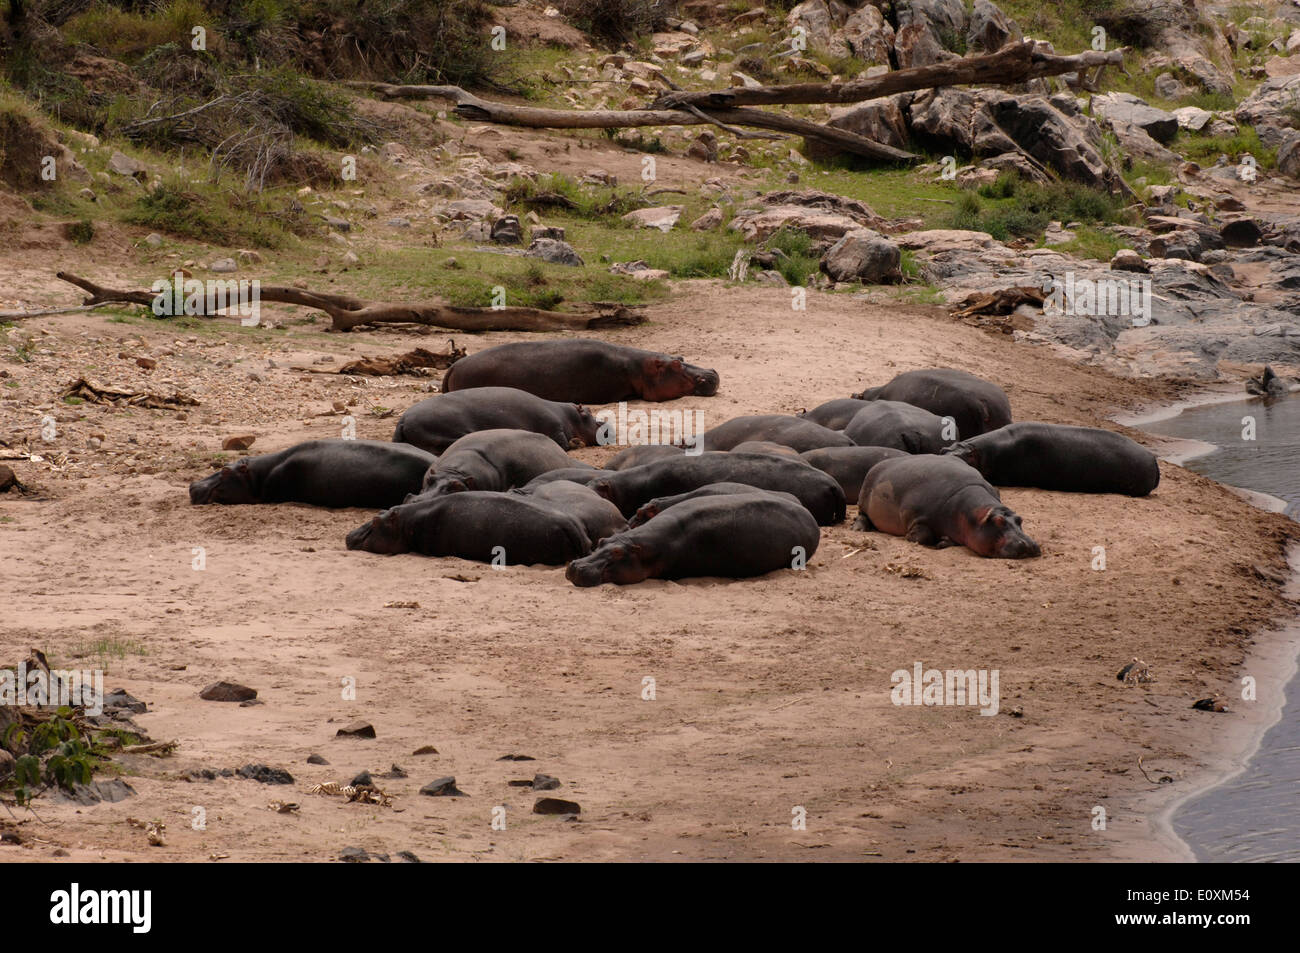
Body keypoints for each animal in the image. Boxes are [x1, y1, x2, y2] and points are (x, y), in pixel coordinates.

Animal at [392, 387, 603, 454]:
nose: (604, 424)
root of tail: (403, 419)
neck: (568, 415)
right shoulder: (554, 427)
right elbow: (564, 444)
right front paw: (575, 443)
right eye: (588, 412)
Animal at [854, 454, 1040, 559]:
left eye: (1020, 519)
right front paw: (912, 537)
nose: (1029, 544)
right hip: (864, 500)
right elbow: (922, 536)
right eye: (999, 521)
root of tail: (879, 464)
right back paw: (858, 529)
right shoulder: (918, 517)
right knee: (862, 515)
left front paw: (944, 541)